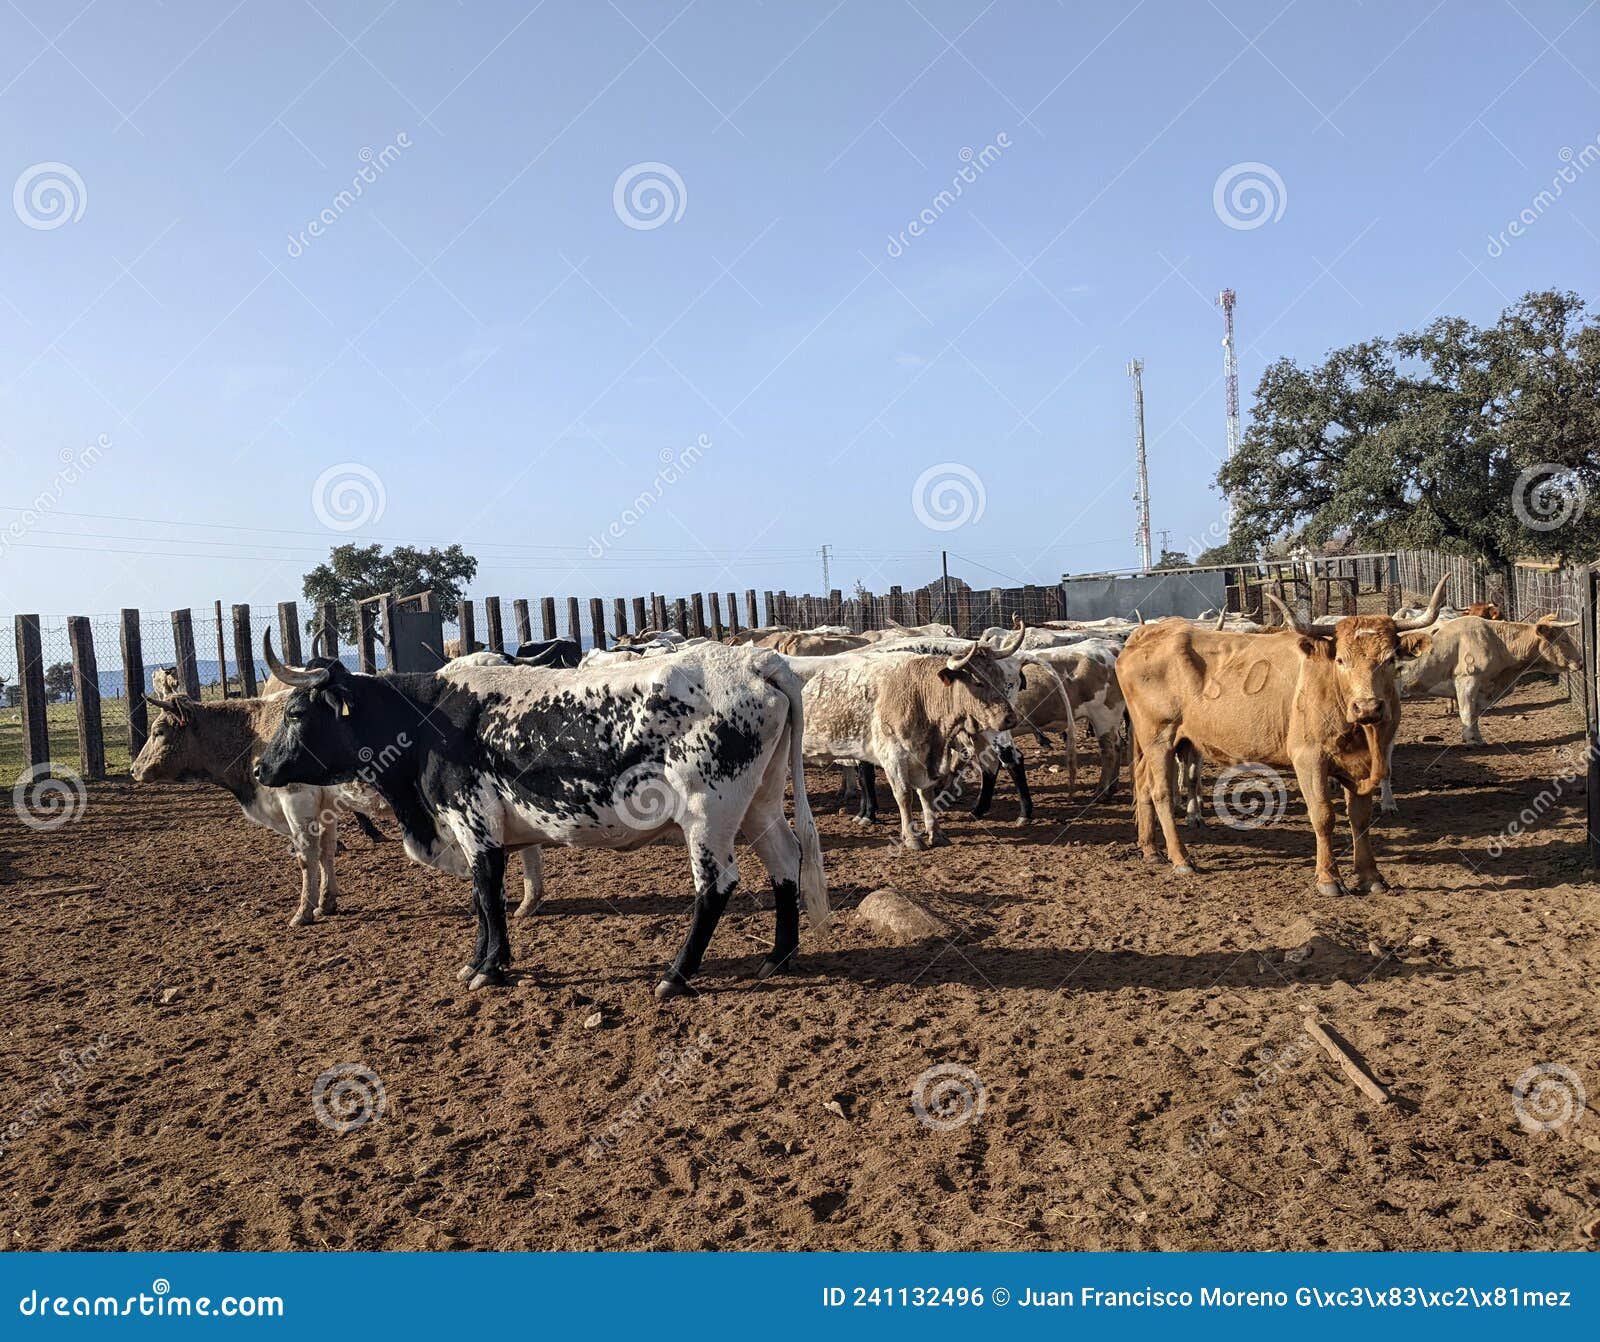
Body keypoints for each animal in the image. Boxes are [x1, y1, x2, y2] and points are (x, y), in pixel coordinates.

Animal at [256, 633, 828, 998]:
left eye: (296, 712)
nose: (261, 767)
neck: (429, 723)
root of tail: (755, 662)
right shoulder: (477, 832)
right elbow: (481, 901)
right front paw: (478, 960)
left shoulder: (475, 824)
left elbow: (488, 896)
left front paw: (491, 969)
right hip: (759, 805)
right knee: (785, 862)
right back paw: (778, 956)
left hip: (709, 815)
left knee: (716, 886)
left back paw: (676, 975)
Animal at [1118, 578, 1448, 895]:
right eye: (1341, 660)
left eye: (1390, 659)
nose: (1367, 706)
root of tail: (1144, 636)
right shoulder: (1309, 759)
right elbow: (1323, 816)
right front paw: (1328, 878)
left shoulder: (1361, 765)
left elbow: (1360, 819)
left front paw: (1371, 876)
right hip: (1159, 738)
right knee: (1161, 792)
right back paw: (1181, 859)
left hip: (1159, 741)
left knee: (1143, 783)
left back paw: (1150, 849)